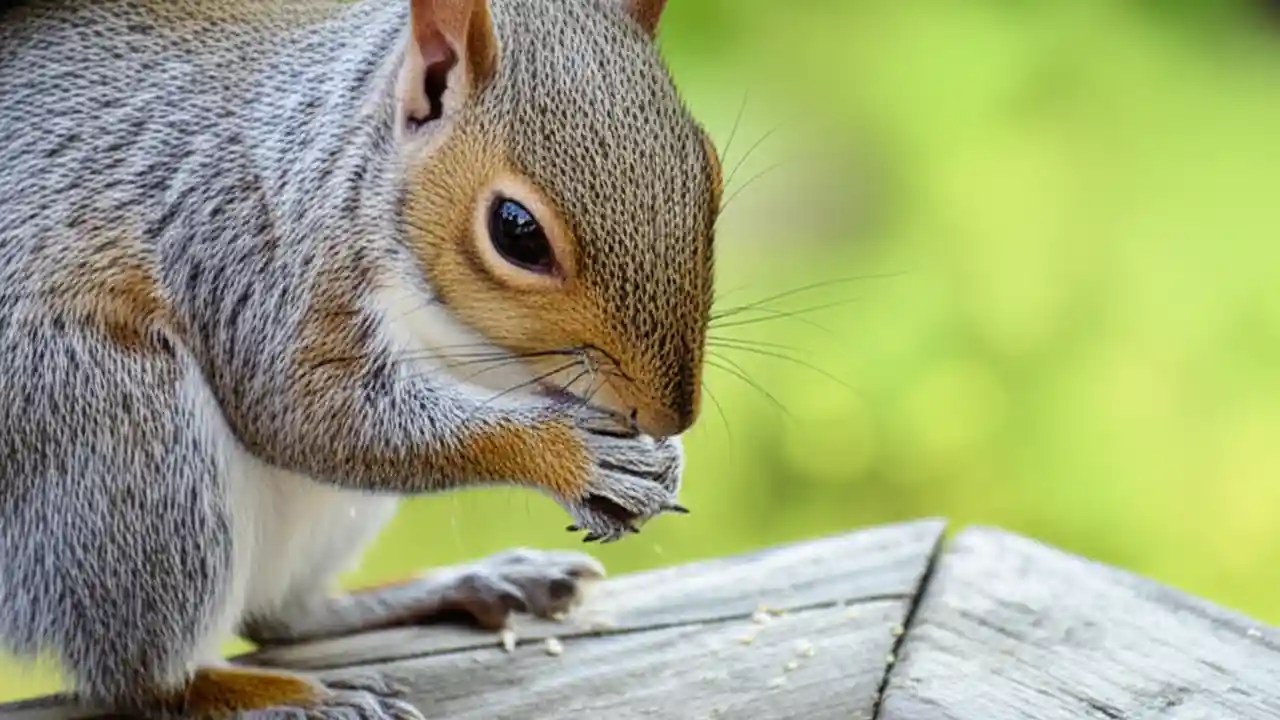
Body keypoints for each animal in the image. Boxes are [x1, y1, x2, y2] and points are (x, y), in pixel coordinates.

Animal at [0, 0, 721, 717]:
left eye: (709, 168)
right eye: (516, 232)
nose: (671, 415)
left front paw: (660, 460)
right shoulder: (257, 256)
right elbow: (310, 413)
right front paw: (576, 458)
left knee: (283, 616)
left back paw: (460, 584)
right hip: (122, 440)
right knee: (143, 679)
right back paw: (280, 697)